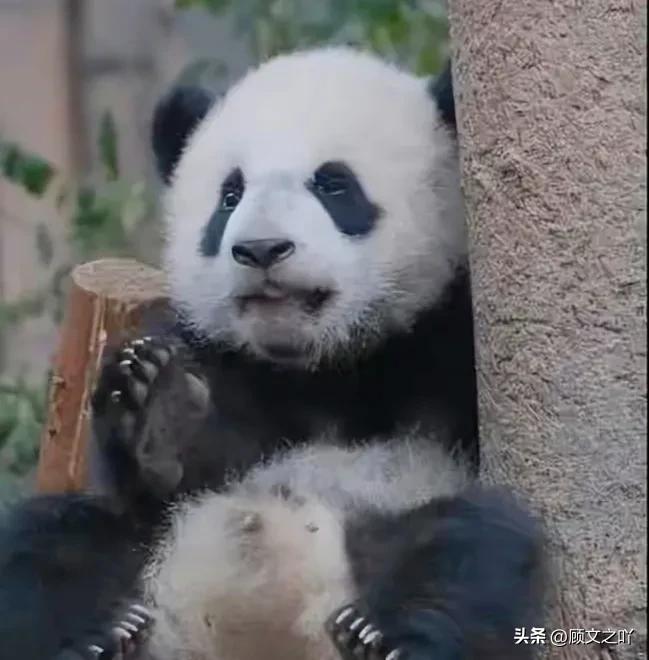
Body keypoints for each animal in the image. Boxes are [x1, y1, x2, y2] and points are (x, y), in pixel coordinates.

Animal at [0, 47, 545, 660]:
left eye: (335, 185)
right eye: (230, 195)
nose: (260, 249)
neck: (324, 360)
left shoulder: (446, 338)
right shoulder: (223, 358)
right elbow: (163, 476)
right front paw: (156, 409)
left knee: (465, 549)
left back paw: (383, 635)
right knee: (48, 546)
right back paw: (92, 635)